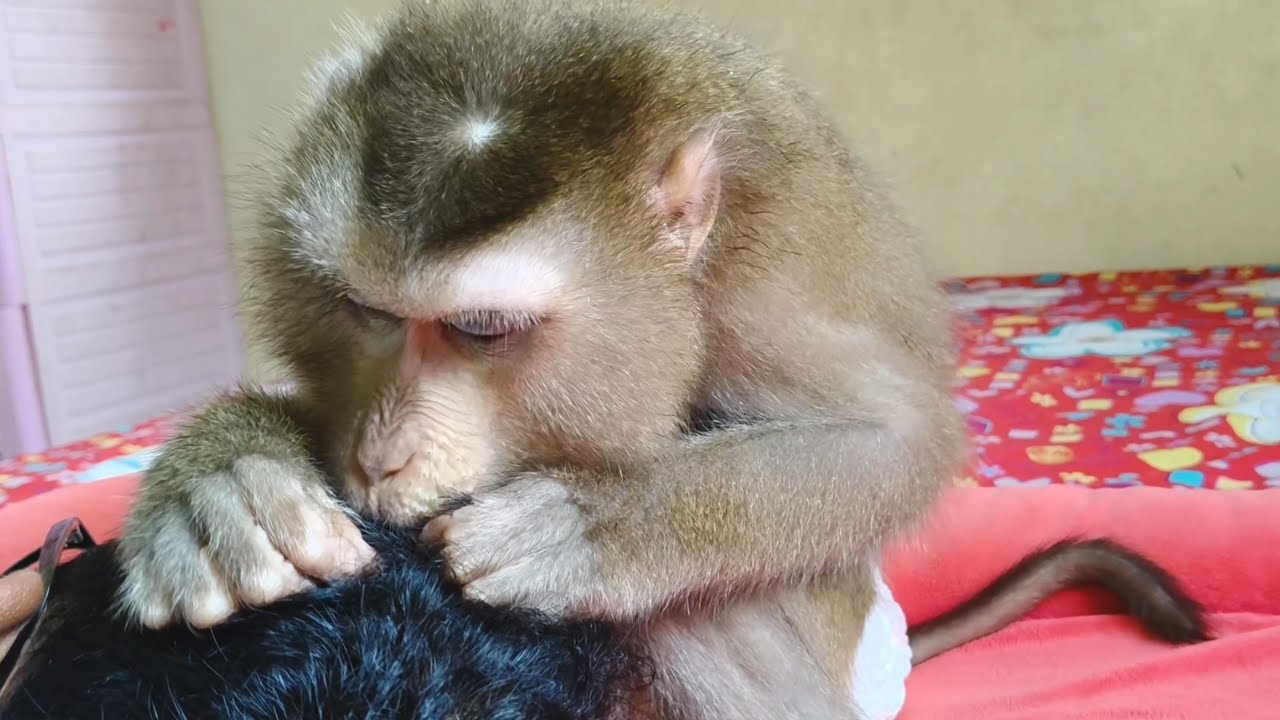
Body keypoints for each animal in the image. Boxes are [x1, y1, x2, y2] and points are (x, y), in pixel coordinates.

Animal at [114, 0, 976, 717]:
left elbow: (897, 442)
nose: (382, 456)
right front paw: (227, 484)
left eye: (483, 329)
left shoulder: (768, 280)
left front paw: (594, 525)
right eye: (369, 311)